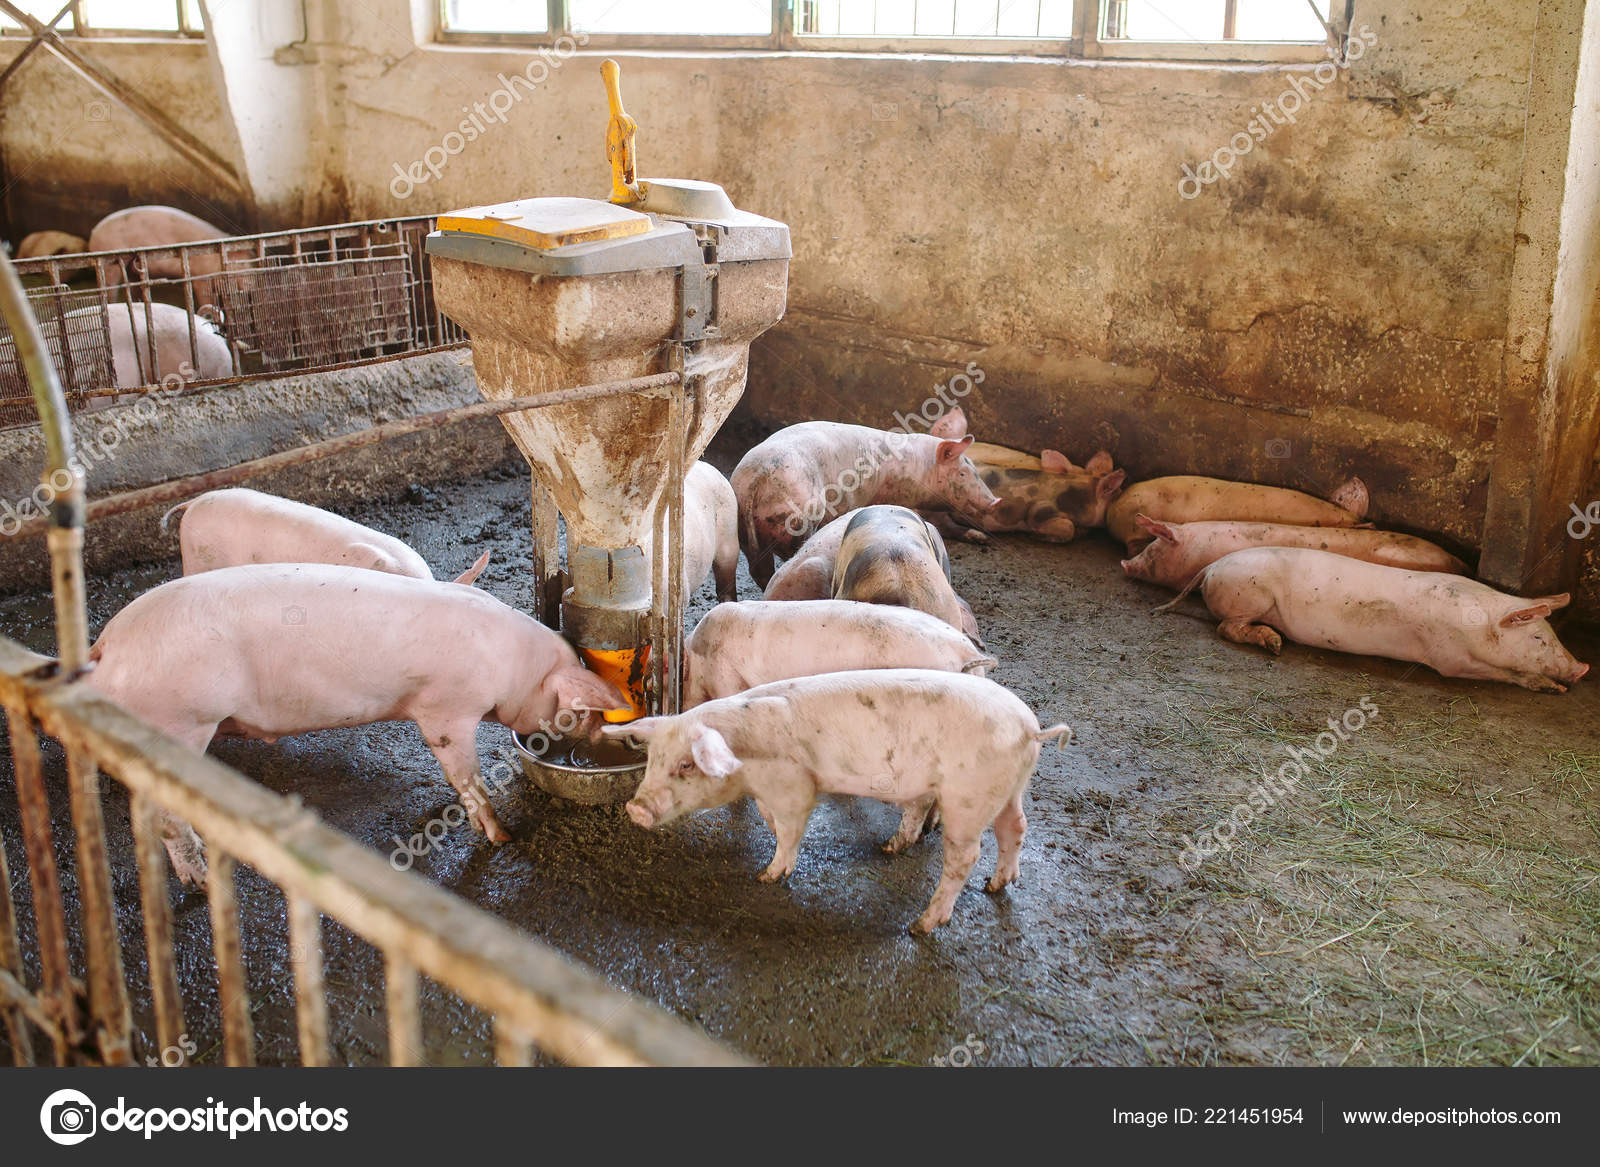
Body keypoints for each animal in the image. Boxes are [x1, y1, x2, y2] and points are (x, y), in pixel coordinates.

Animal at [86, 563, 627, 885]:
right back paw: (200, 881)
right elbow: (465, 774)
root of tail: (105, 645)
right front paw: (503, 837)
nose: (602, 739)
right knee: (164, 817)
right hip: (180, 723)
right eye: (580, 710)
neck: (513, 670)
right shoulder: (445, 709)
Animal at [602, 669, 1072, 933]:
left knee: (965, 855)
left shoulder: (794, 786)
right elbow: (770, 819)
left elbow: (790, 830)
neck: (746, 762)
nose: (635, 808)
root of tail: (1030, 728)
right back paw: (991, 883)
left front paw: (767, 876)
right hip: (1010, 787)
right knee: (1015, 827)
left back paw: (921, 926)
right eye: (653, 760)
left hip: (967, 797)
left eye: (686, 765)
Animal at [731, 406, 1000, 588]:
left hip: (744, 528)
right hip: (799, 515)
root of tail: (758, 476)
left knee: (759, 569)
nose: (995, 501)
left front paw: (982, 538)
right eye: (963, 473)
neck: (915, 470)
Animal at [1156, 547, 1588, 693]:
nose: (1582, 668)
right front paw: (1552, 688)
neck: (1479, 625)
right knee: (1225, 627)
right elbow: (1497, 672)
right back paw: (1274, 643)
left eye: (1550, 634)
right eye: (1537, 639)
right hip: (1250, 593)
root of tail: (1212, 566)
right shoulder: (1448, 658)